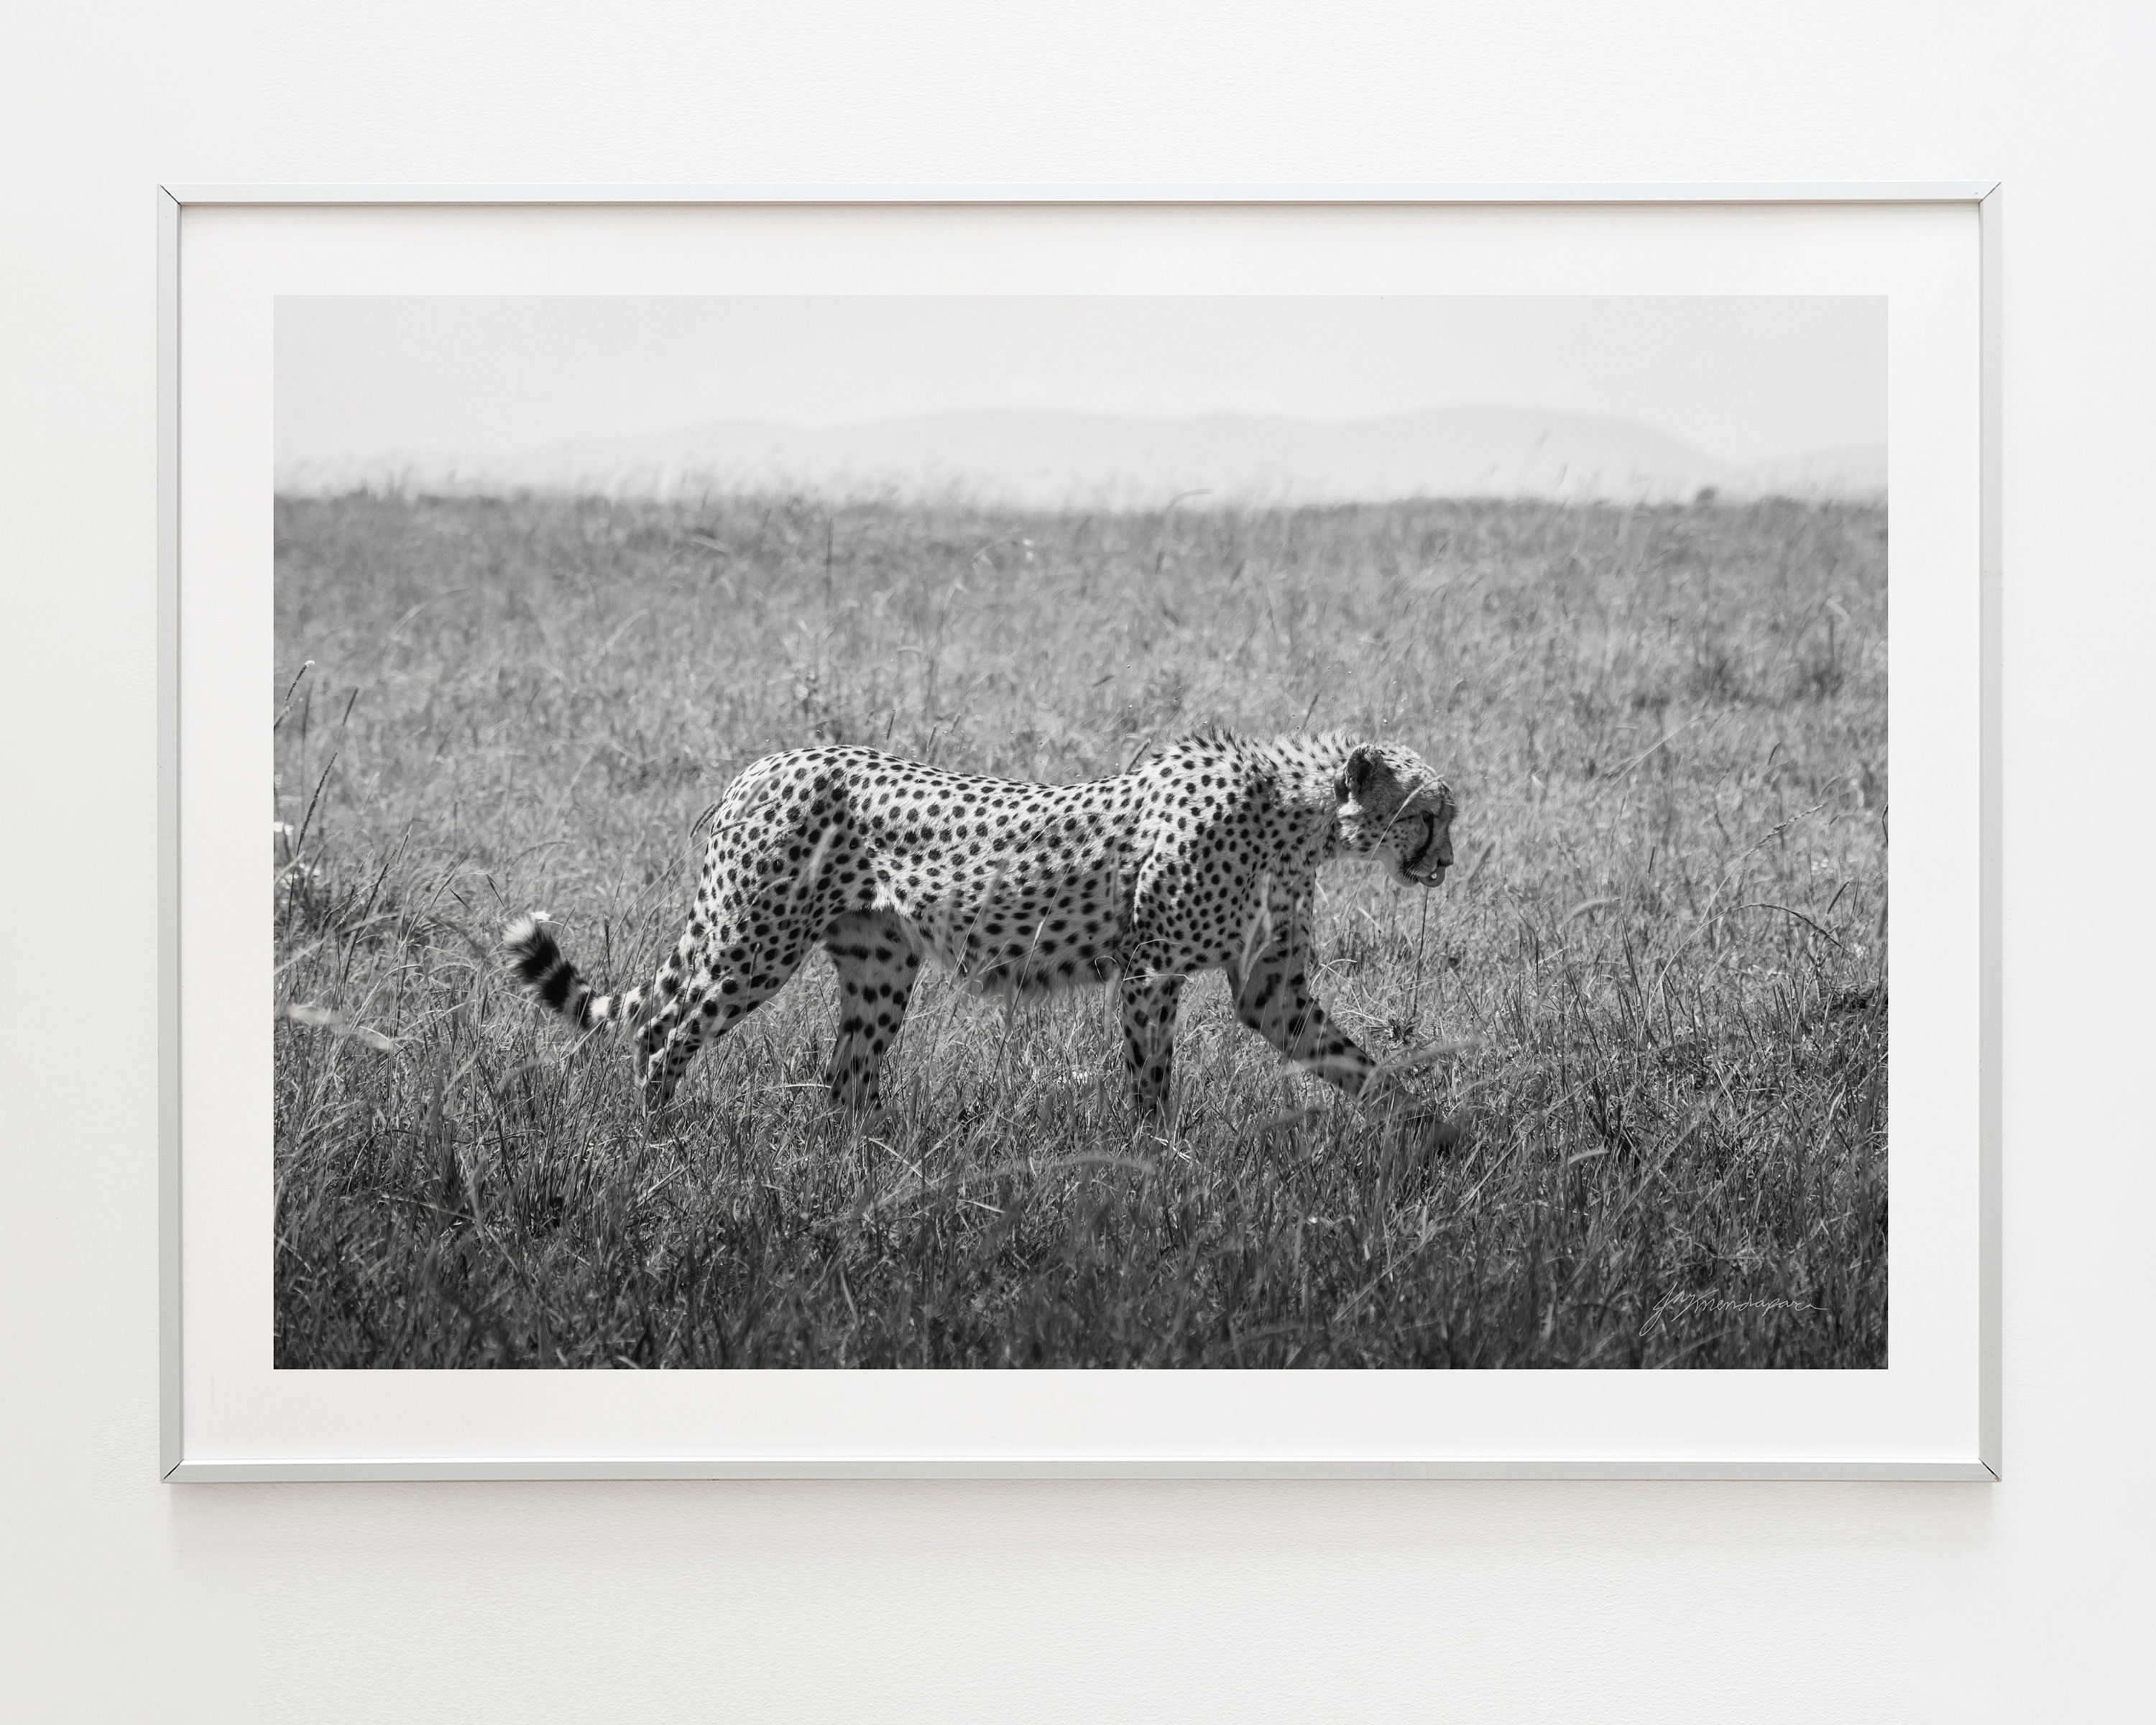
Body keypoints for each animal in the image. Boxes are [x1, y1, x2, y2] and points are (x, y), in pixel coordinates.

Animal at [503, 731, 1456, 1119]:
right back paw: (655, 1139)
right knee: (664, 1031)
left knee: (846, 1076)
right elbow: (1152, 1081)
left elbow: (1361, 1064)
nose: (1446, 863)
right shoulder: (1149, 971)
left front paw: (1432, 1134)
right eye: (1428, 815)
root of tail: (765, 763)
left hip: (879, 966)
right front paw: (1154, 1160)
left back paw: (867, 1170)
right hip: (754, 942)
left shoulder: (1270, 989)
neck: (1298, 816)